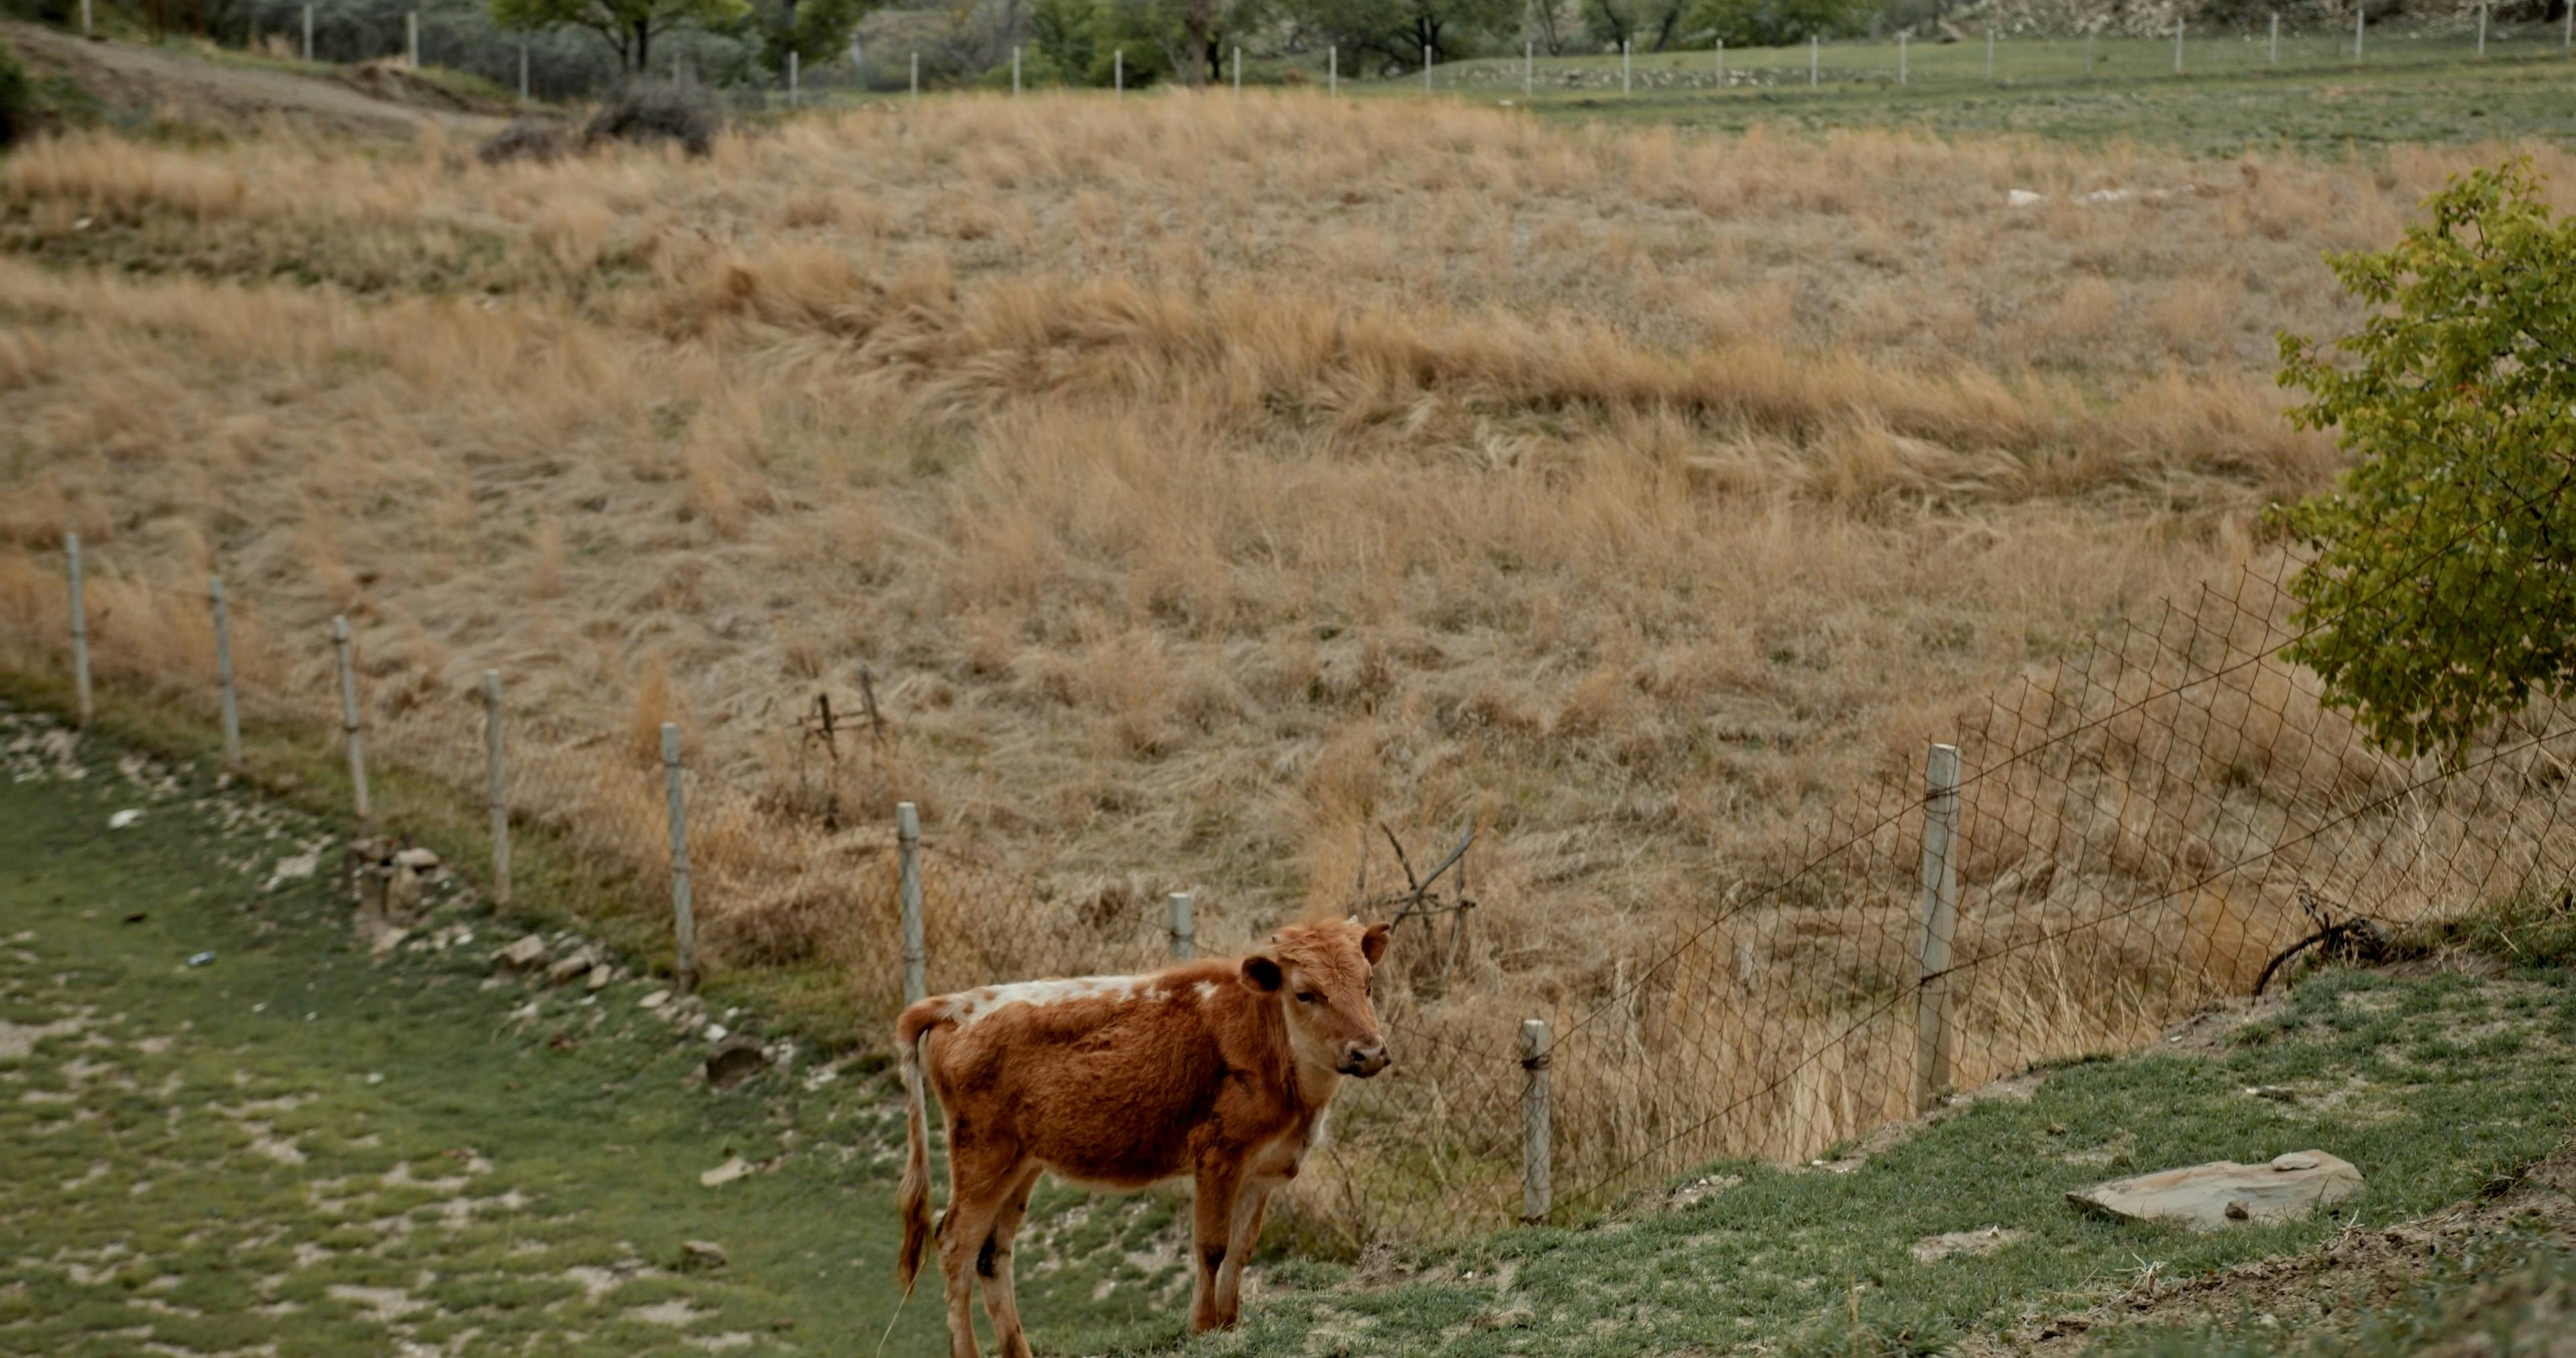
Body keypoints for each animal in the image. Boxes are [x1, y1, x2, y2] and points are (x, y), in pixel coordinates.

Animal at [893, 916, 1393, 1358]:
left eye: (1368, 984)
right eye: (1305, 993)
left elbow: (1241, 1249)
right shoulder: (1219, 1158)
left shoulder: (1261, 1171)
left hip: (1020, 1166)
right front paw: (1203, 1328)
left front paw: (1230, 1325)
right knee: (956, 1246)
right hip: (982, 1160)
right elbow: (1212, 1246)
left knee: (992, 1254)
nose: (1368, 1052)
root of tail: (955, 1006)